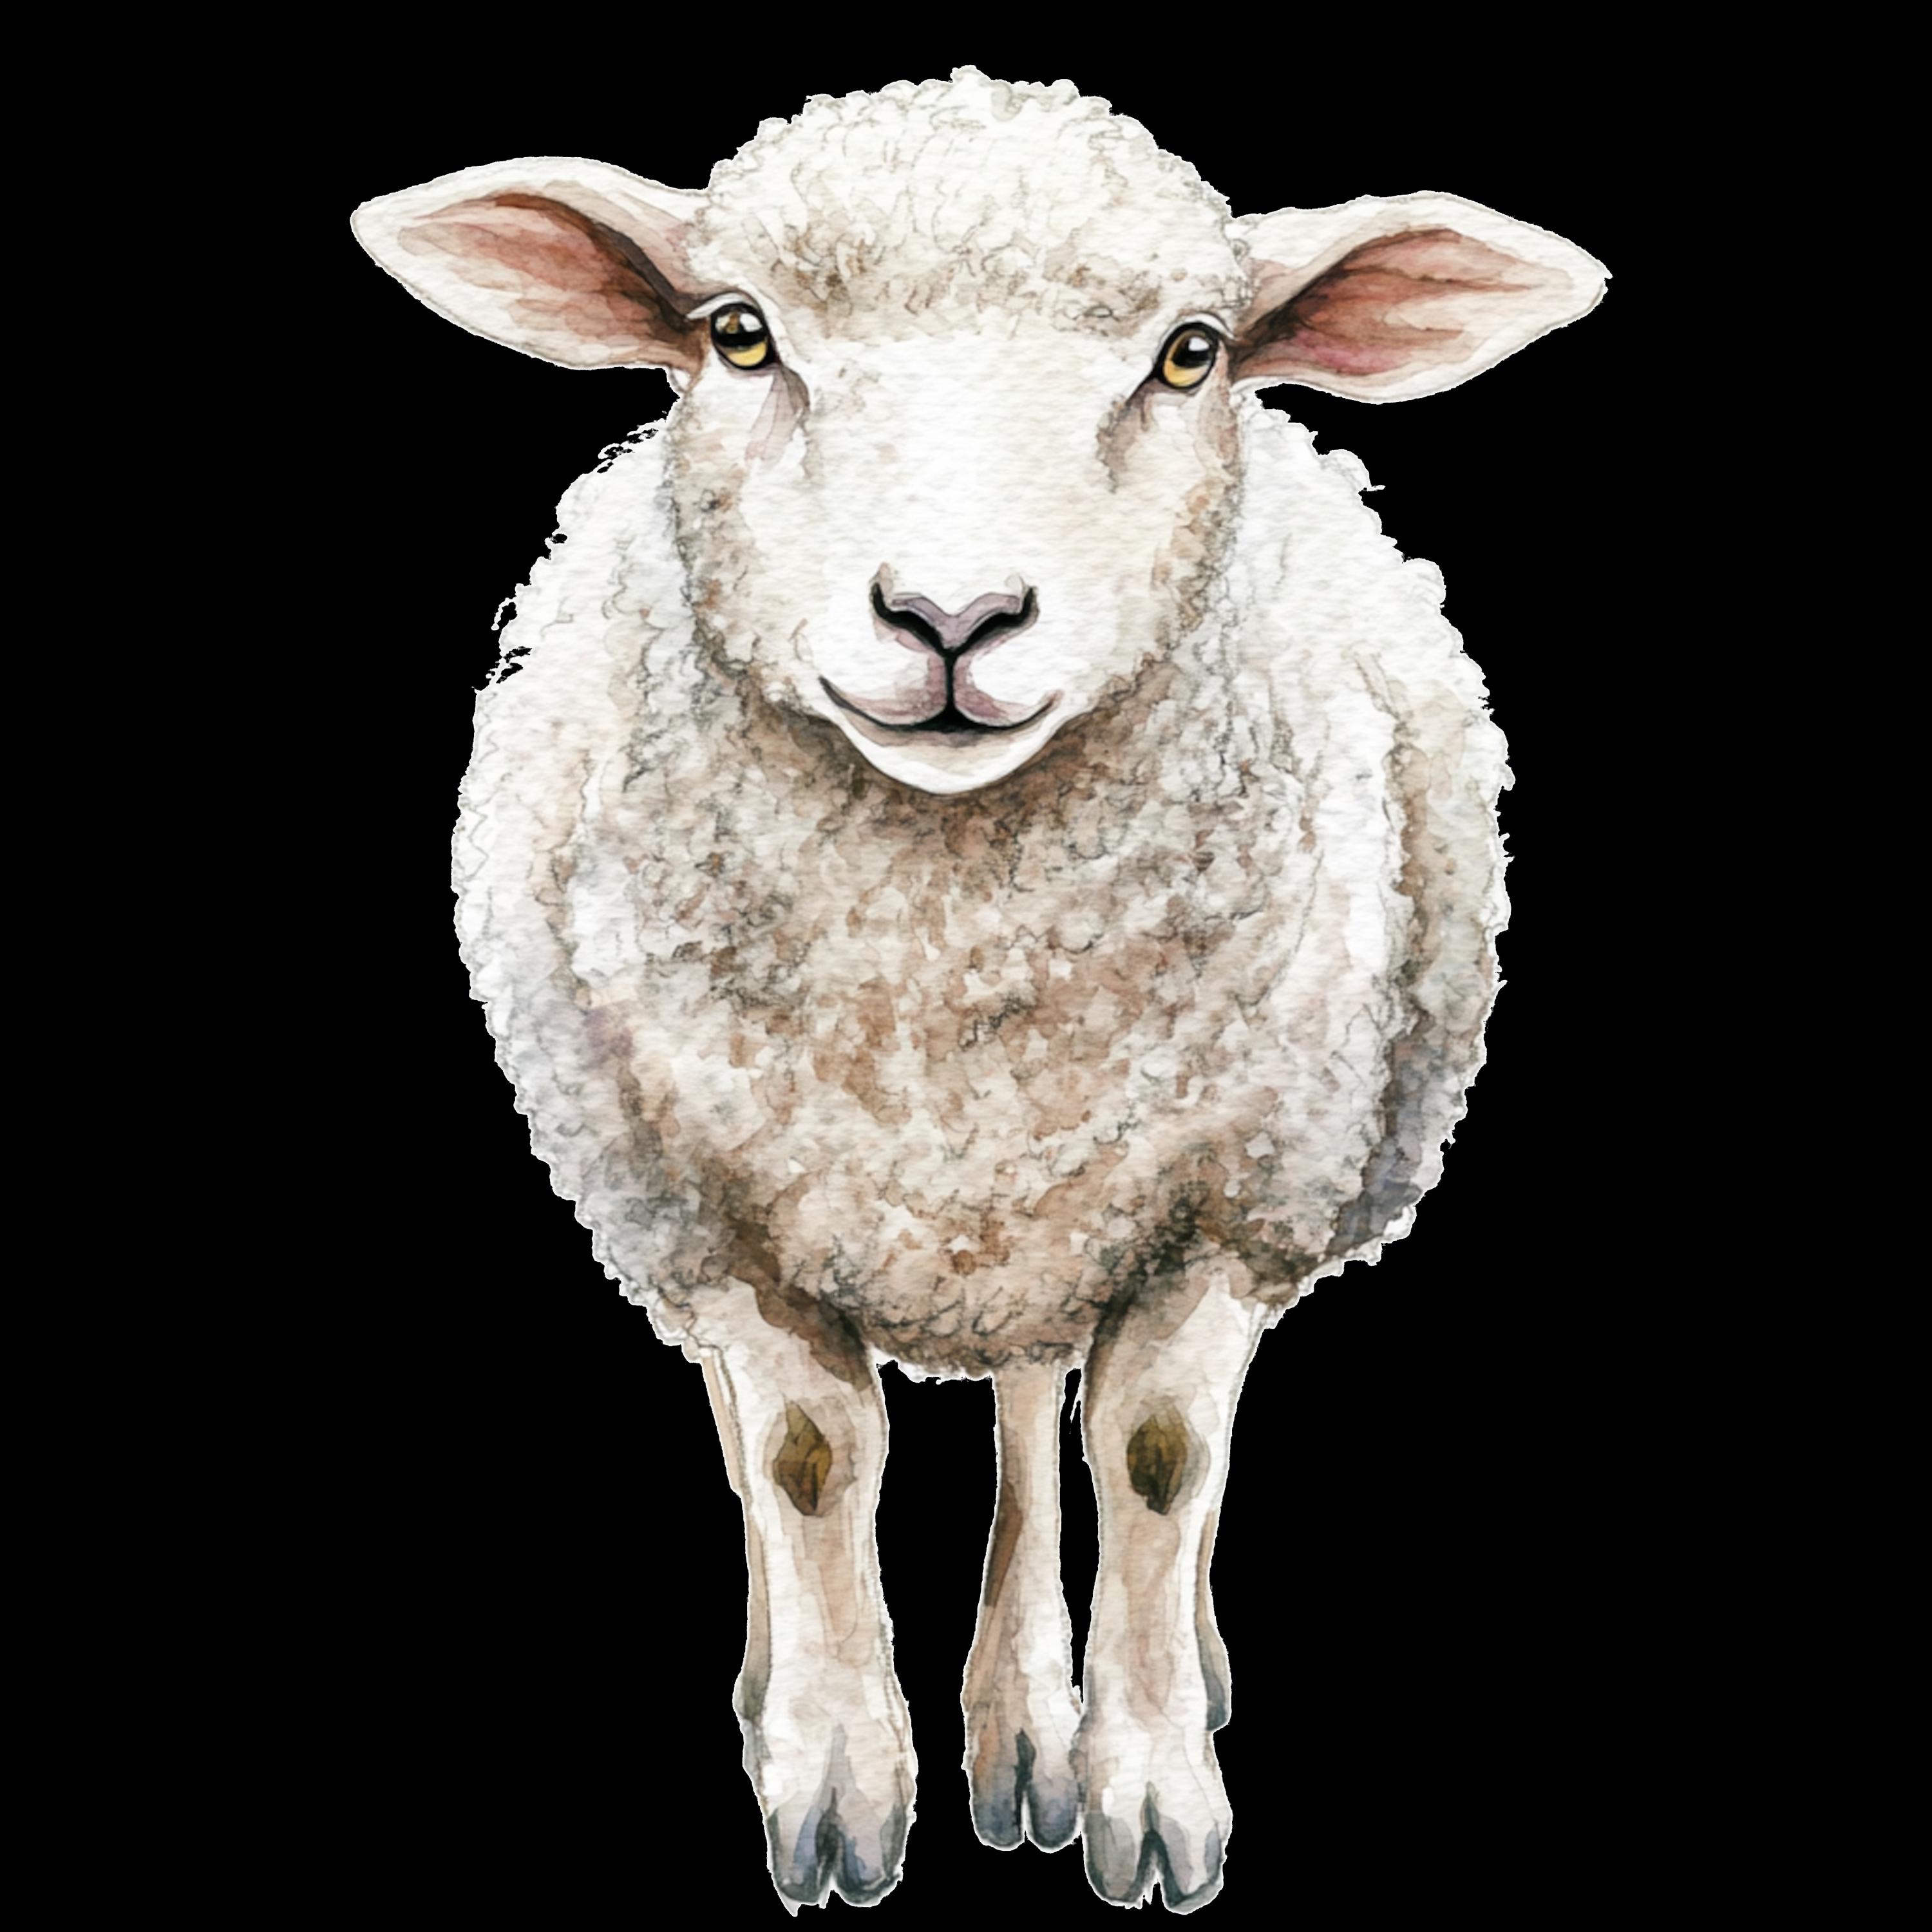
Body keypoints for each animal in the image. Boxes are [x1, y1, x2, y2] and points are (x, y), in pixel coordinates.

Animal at [352, 70, 1606, 1914]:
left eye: (1191, 353)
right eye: (737, 334)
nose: (952, 617)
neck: (947, 994)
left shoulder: (1224, 1198)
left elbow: (1155, 1460)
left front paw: (1144, 1792)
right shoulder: (712, 1208)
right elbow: (803, 1460)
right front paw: (834, 1786)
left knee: (1037, 1412)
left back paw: (1056, 1718)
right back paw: (825, 1691)